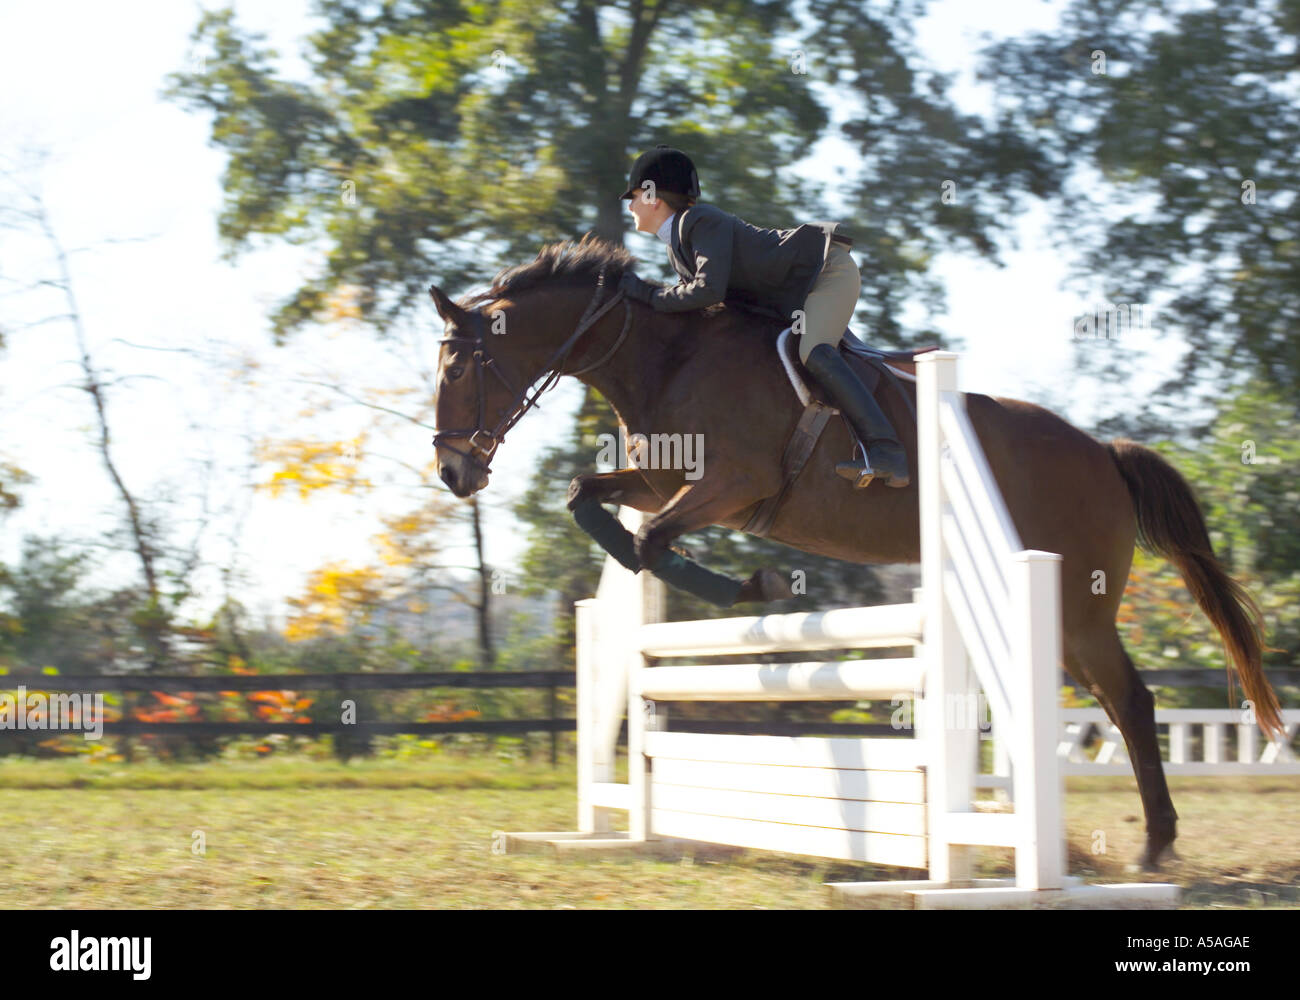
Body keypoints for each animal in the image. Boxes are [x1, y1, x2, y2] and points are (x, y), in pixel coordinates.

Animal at [428, 235, 1283, 871]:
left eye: (463, 365)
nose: (453, 472)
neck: (664, 357)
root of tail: (1102, 452)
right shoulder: (658, 479)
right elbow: (589, 498)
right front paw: (741, 585)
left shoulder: (732, 484)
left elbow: (650, 539)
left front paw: (759, 585)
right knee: (1111, 701)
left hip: (1077, 610)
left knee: (1130, 702)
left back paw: (1154, 847)